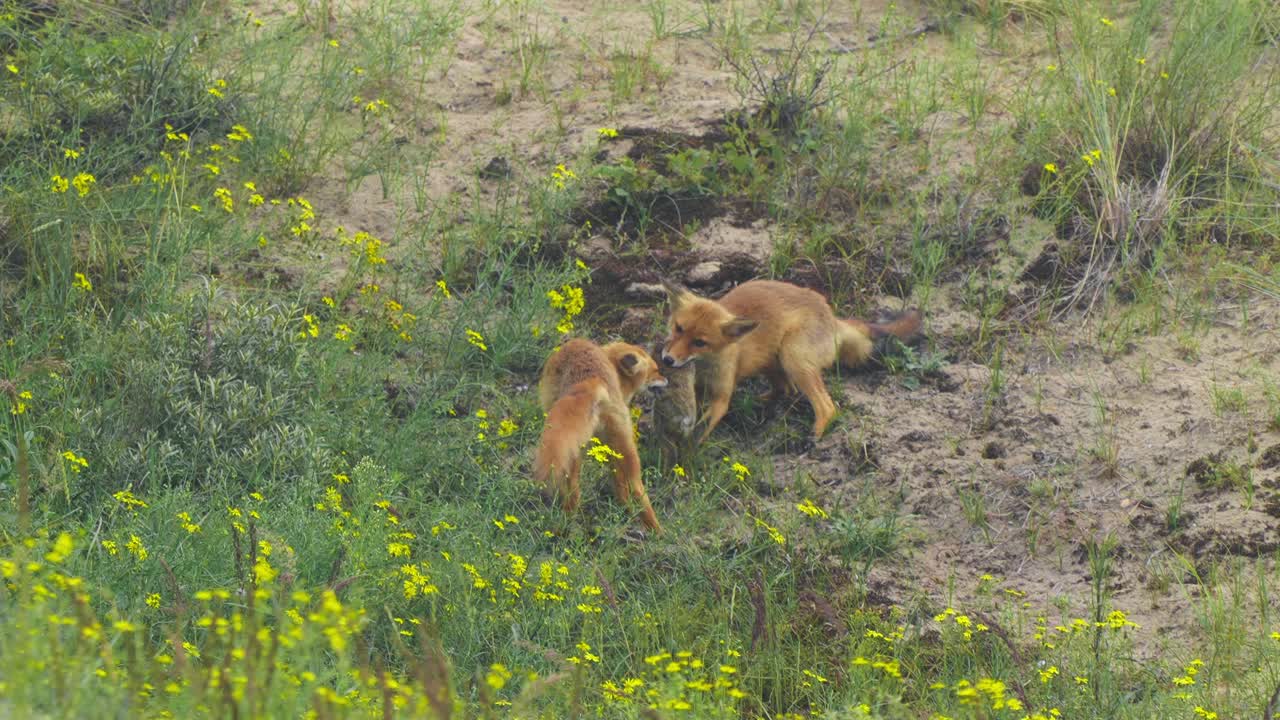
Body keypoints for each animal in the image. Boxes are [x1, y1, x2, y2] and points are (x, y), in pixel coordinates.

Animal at [534, 339, 668, 531]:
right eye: (656, 371)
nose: (667, 380)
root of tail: (590, 377)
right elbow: (622, 484)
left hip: (578, 451)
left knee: (574, 490)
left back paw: (566, 523)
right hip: (622, 447)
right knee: (635, 489)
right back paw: (655, 529)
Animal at [660, 279, 922, 442]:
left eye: (700, 342)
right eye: (678, 328)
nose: (667, 360)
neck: (705, 366)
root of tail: (831, 315)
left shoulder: (720, 398)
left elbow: (702, 429)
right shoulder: (698, 390)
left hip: (793, 357)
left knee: (827, 406)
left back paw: (816, 433)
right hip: (773, 361)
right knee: (785, 389)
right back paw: (762, 403)